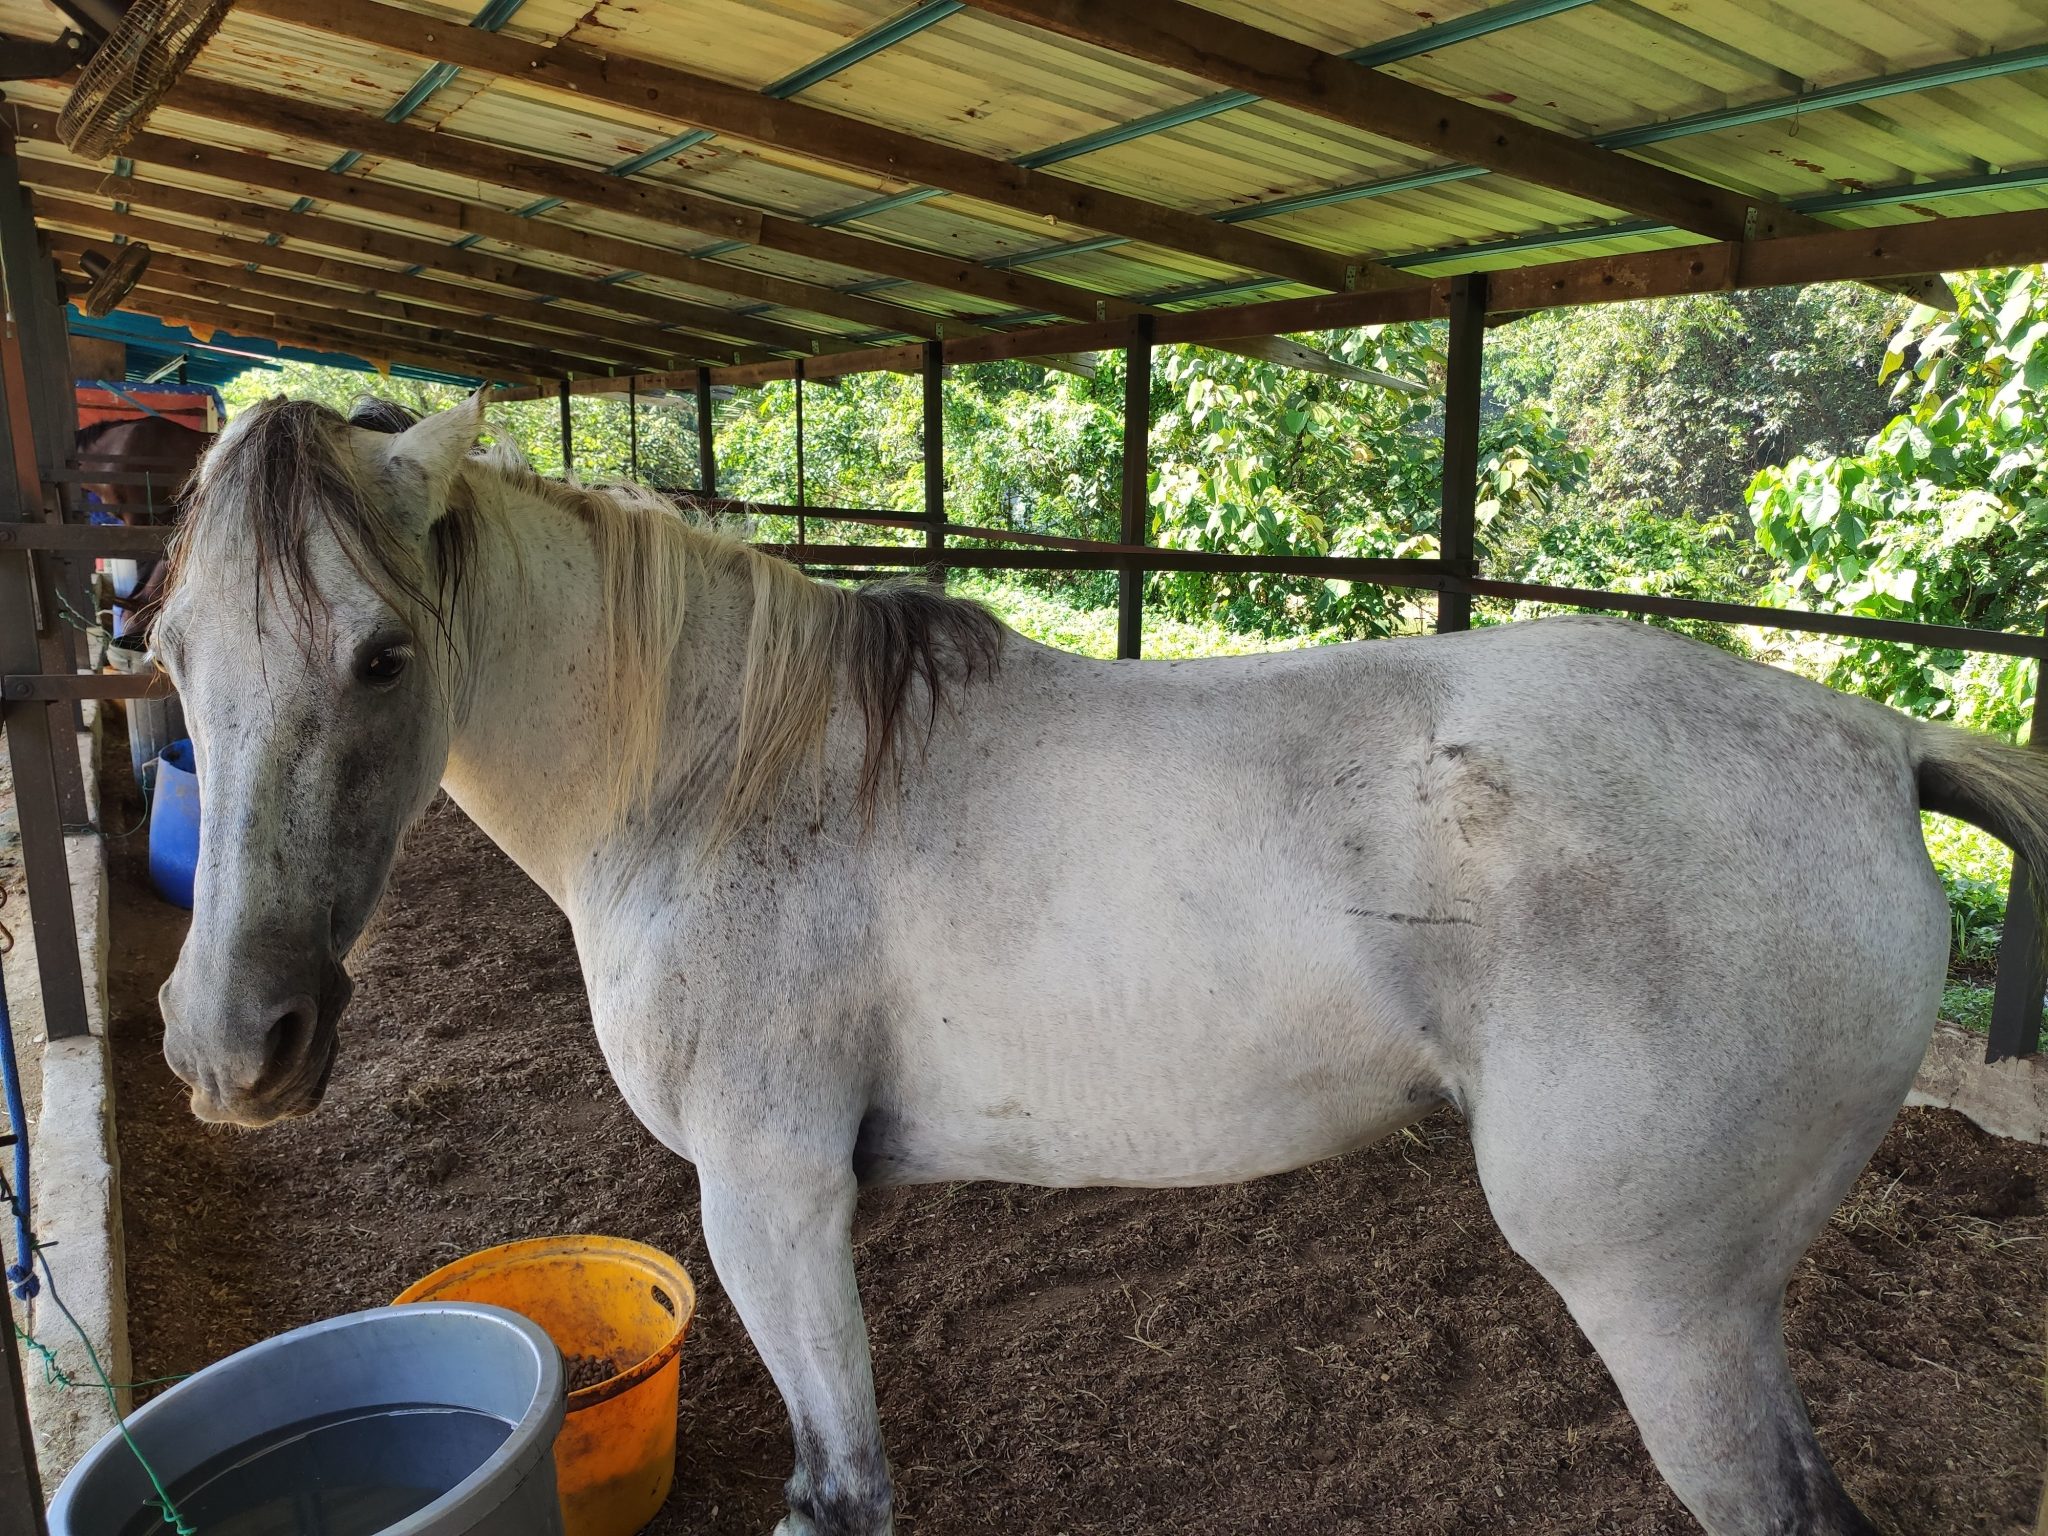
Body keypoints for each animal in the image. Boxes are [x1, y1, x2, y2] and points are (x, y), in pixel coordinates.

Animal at [148, 392, 2048, 1536]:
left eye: (384, 655)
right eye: (166, 647)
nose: (236, 1044)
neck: (718, 781)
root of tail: (1872, 745)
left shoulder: (768, 1195)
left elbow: (842, 1485)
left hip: (1668, 1299)